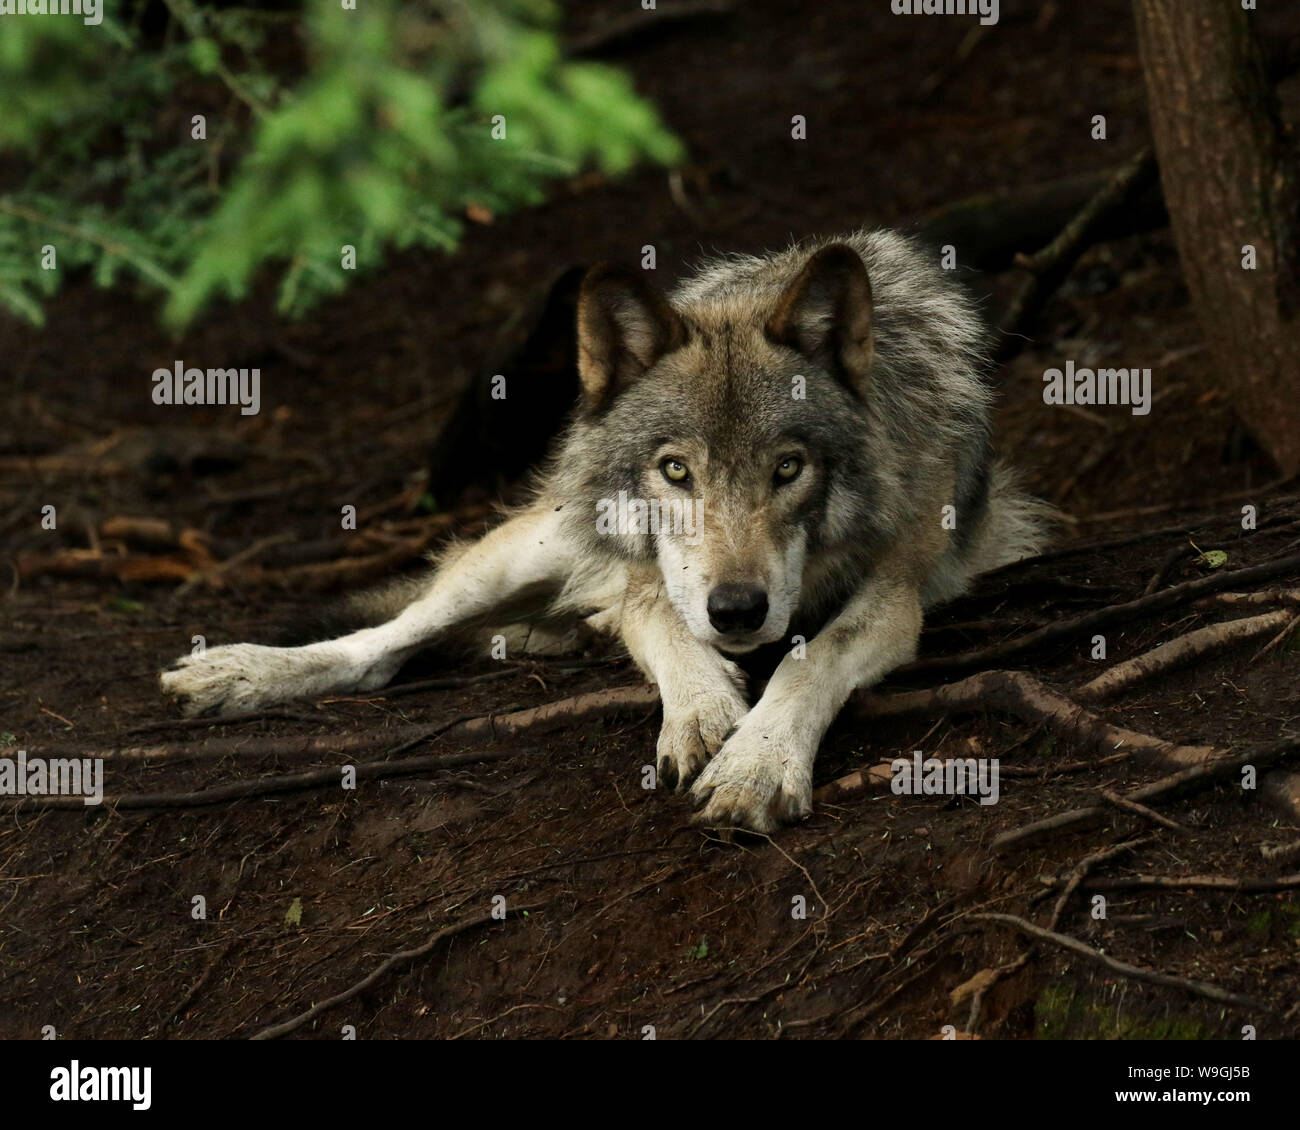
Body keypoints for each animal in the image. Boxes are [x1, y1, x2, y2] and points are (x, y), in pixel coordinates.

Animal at [160, 228, 1052, 832]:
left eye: (789, 468)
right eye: (676, 470)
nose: (737, 610)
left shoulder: (895, 595)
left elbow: (812, 660)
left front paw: (757, 764)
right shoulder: (645, 580)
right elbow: (664, 628)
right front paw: (704, 712)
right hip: (526, 553)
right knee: (379, 646)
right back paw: (237, 673)